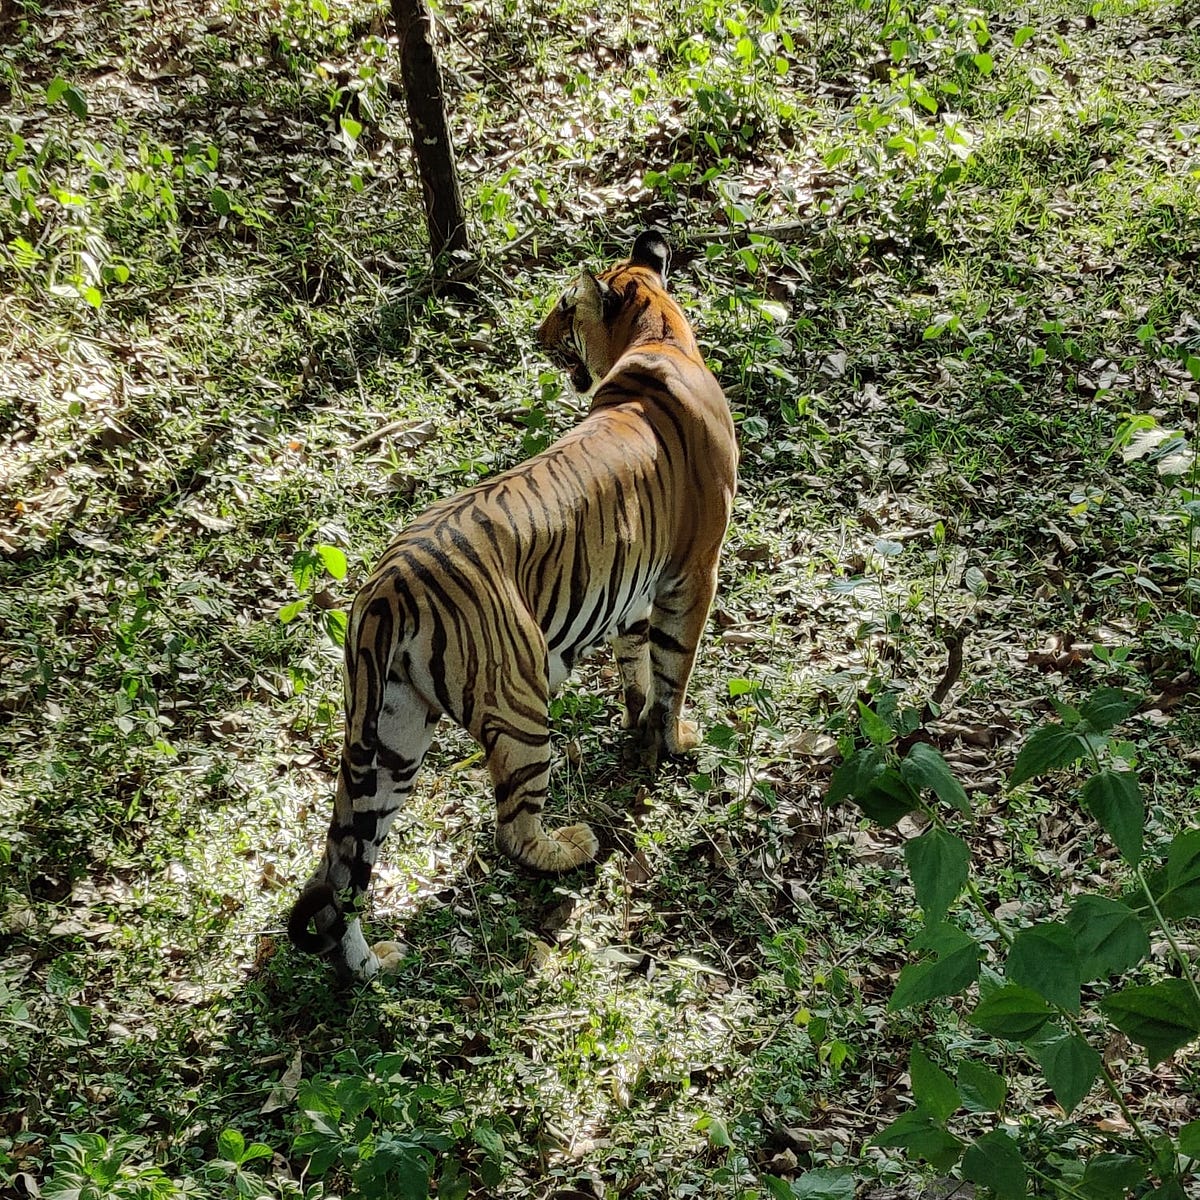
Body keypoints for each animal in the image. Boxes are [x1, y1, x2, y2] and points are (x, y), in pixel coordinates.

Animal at [287, 230, 738, 980]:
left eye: (562, 310)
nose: (536, 335)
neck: (660, 336)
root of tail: (384, 589)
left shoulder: (637, 589)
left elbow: (638, 664)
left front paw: (640, 724)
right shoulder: (692, 573)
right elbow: (675, 668)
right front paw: (672, 741)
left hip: (389, 737)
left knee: (344, 861)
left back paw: (372, 966)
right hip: (520, 698)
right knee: (511, 830)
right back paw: (572, 846)